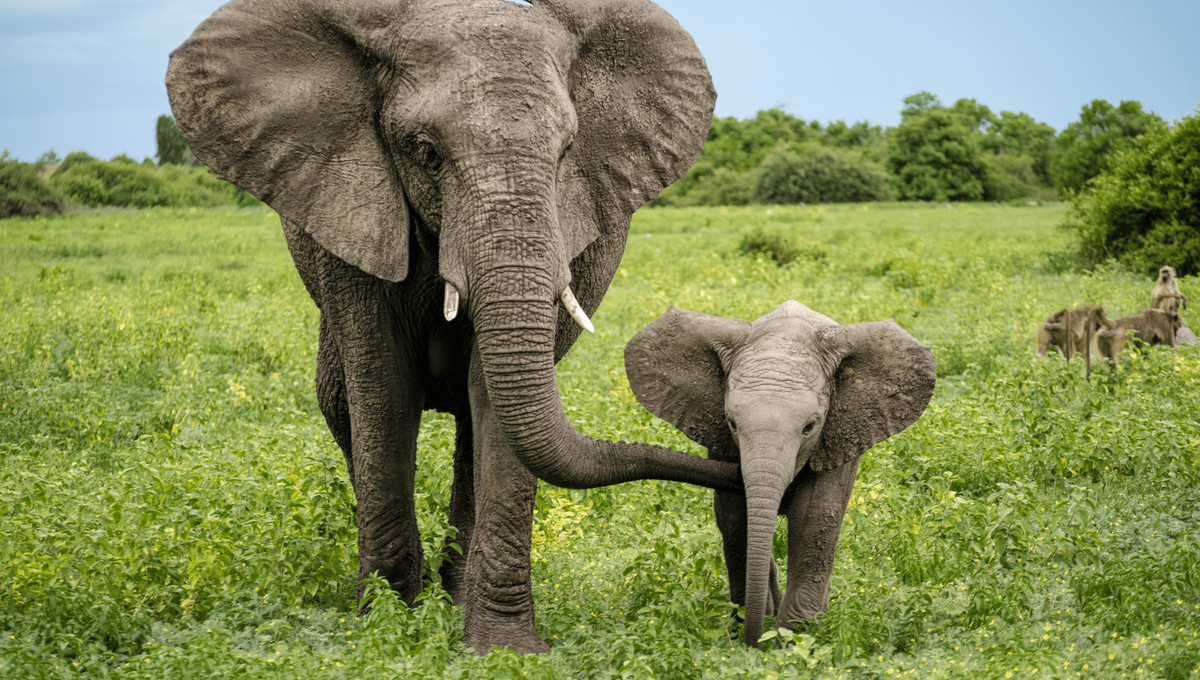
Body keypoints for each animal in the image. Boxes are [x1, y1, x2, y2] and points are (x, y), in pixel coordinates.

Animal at [166, 0, 743, 654]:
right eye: (424, 151)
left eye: (568, 151)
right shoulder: (352, 219)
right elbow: (383, 391)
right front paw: (386, 632)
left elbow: (494, 398)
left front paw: (504, 650)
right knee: (341, 406)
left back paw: (456, 600)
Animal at [624, 301, 936, 647]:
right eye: (732, 423)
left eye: (809, 427)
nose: (752, 643)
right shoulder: (719, 439)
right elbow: (735, 516)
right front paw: (753, 626)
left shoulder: (840, 435)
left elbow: (815, 516)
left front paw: (796, 639)